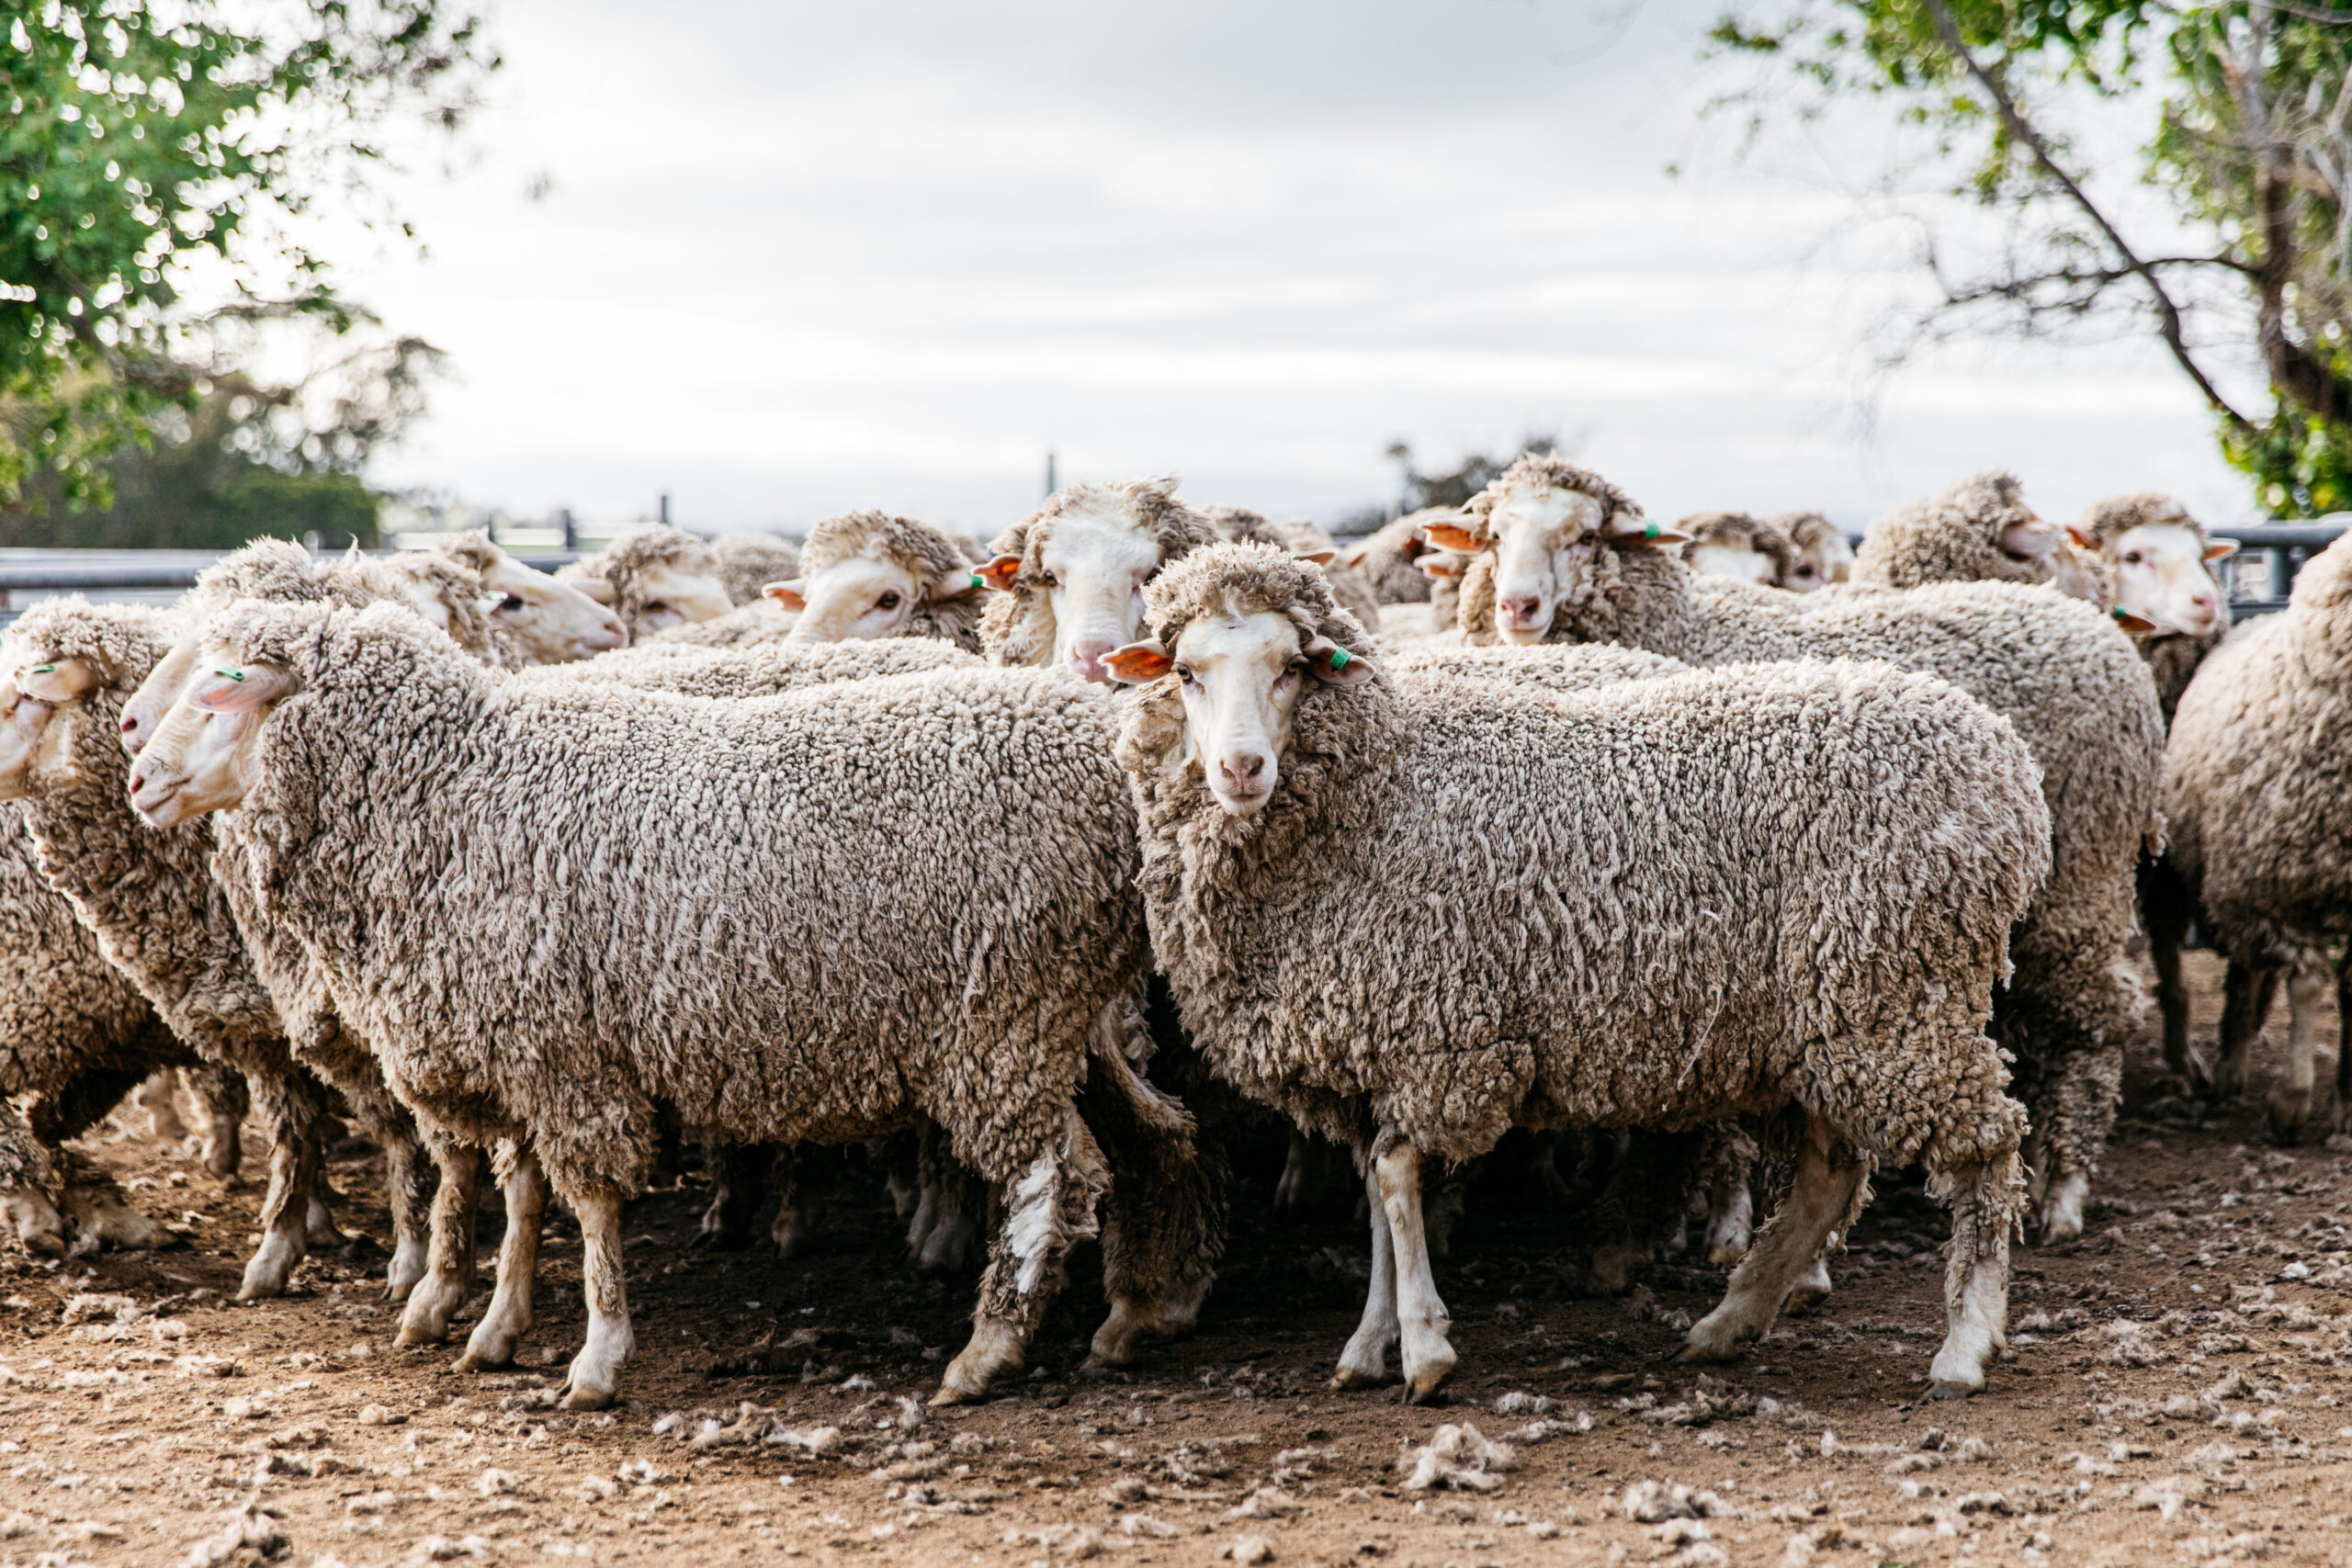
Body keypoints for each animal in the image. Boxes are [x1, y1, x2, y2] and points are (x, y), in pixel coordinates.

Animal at [132, 601, 1166, 1409]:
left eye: (218, 691)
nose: (140, 777)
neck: (449, 795)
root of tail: (1103, 747)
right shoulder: (521, 1046)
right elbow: (522, 1193)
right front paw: (497, 1325)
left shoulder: (564, 1055)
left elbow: (588, 1204)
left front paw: (596, 1358)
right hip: (1053, 1019)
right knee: (1116, 1154)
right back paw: (1110, 1312)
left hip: (1004, 1014)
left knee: (1049, 1176)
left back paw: (987, 1352)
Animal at [1105, 543, 2047, 1398]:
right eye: (1185, 673)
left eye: (1293, 668)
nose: (1241, 768)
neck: (1377, 785)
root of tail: (2005, 760)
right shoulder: (1369, 1052)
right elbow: (1375, 1198)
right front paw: (1368, 1344)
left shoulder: (1440, 1038)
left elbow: (1400, 1182)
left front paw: (1425, 1347)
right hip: (1827, 1016)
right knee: (1831, 1170)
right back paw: (1729, 1322)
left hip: (1899, 991)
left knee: (1986, 1148)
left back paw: (1965, 1344)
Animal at [1436, 454, 2165, 1243]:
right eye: (1495, 536)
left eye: (1584, 536)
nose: (1518, 607)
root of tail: (2107, 638)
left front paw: (1724, 1219)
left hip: (2084, 872)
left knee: (2095, 1020)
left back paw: (2064, 1188)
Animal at [2158, 532, 2352, 1142]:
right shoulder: (2266, 892)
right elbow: (2308, 983)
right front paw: (2291, 1102)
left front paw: (2345, 1106)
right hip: (2211, 875)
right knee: (2229, 967)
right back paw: (2225, 1067)